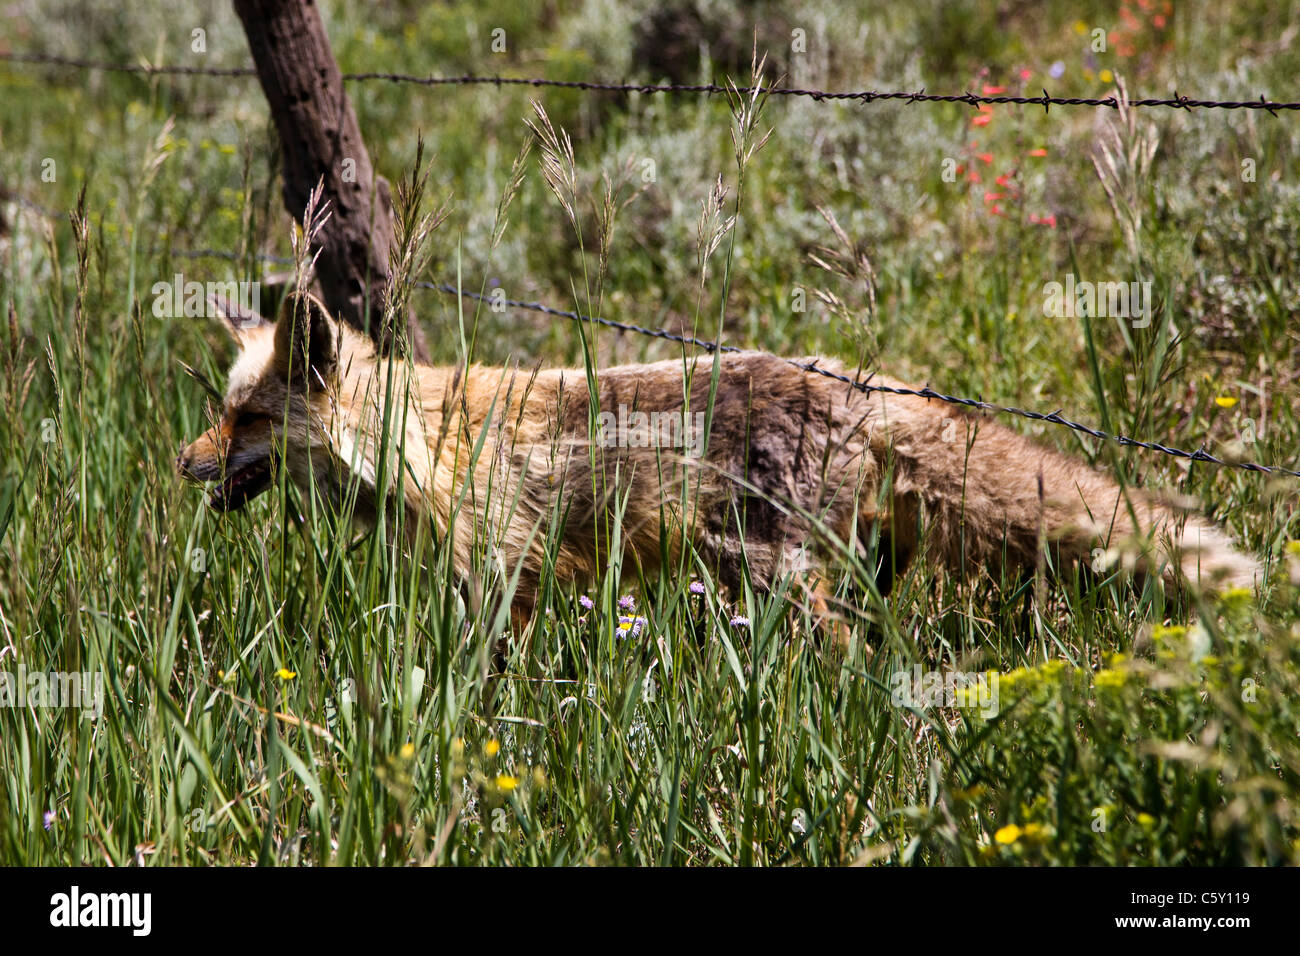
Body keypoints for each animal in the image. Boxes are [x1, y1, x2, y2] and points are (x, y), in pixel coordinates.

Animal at [177, 291, 1260, 632]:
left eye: (246, 418)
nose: (181, 462)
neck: (426, 444)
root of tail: (868, 385)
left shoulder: (508, 573)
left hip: (770, 573)